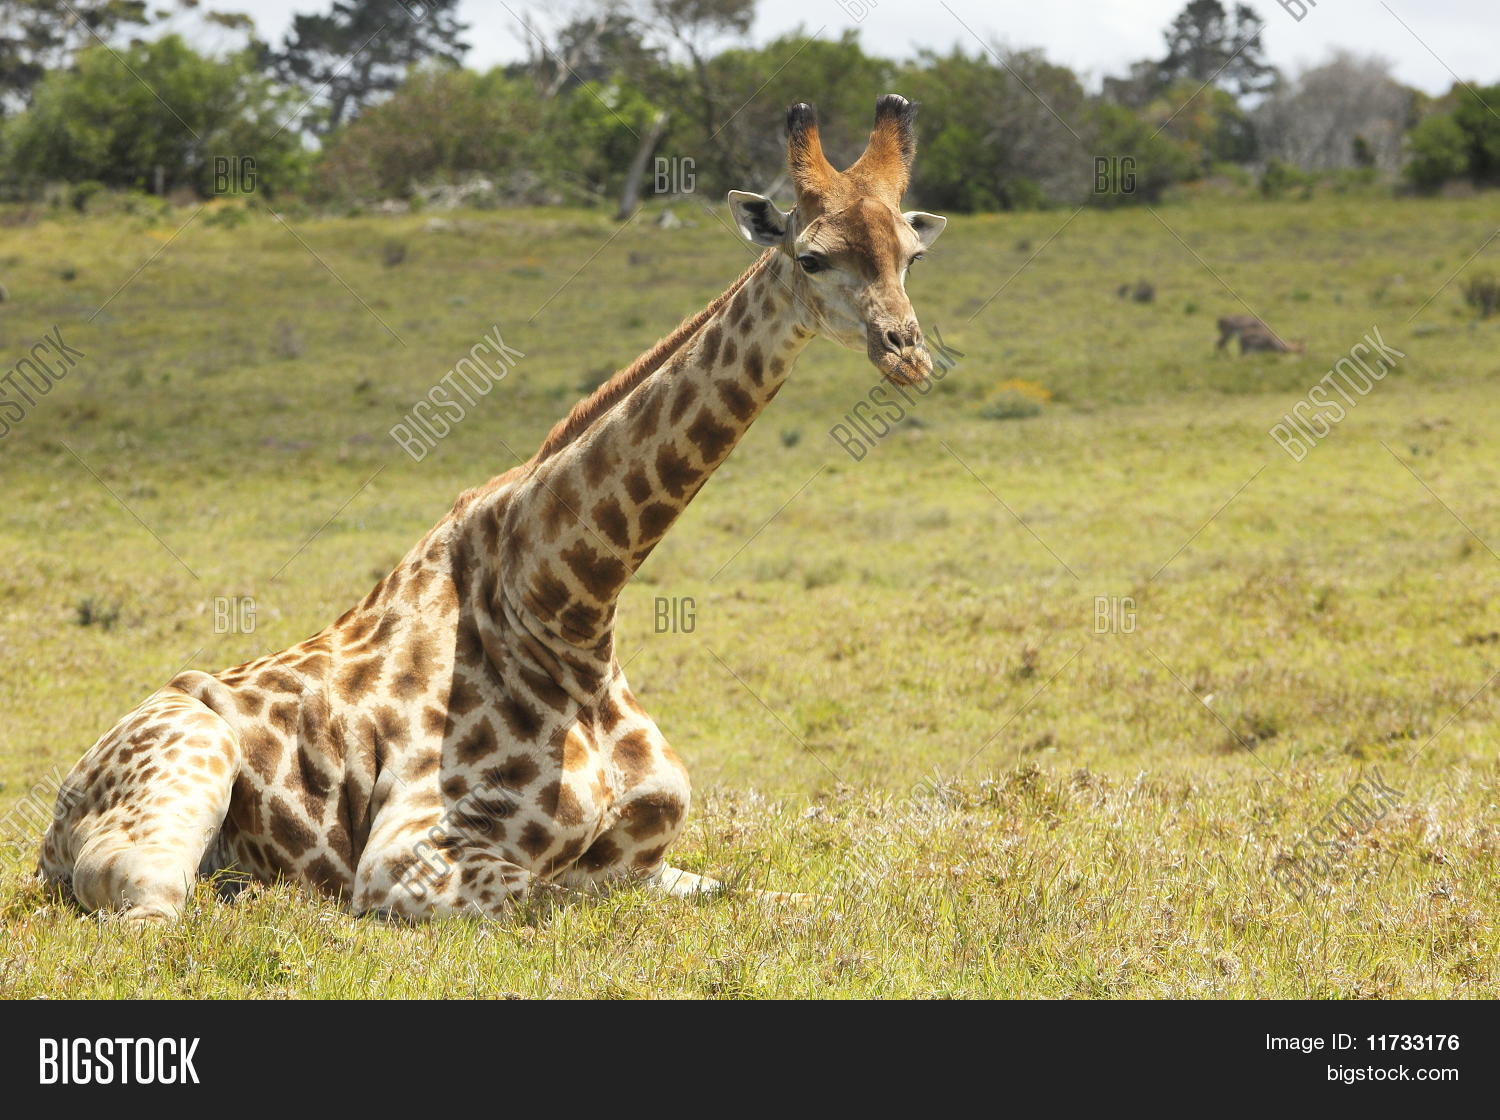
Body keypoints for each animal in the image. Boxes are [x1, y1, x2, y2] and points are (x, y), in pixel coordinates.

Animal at [37, 95, 948, 924]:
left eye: (910, 255)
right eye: (813, 258)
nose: (907, 354)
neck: (571, 610)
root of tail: (54, 825)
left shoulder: (650, 858)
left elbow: (776, 895)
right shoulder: (407, 860)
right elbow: (554, 896)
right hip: (180, 788)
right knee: (153, 909)